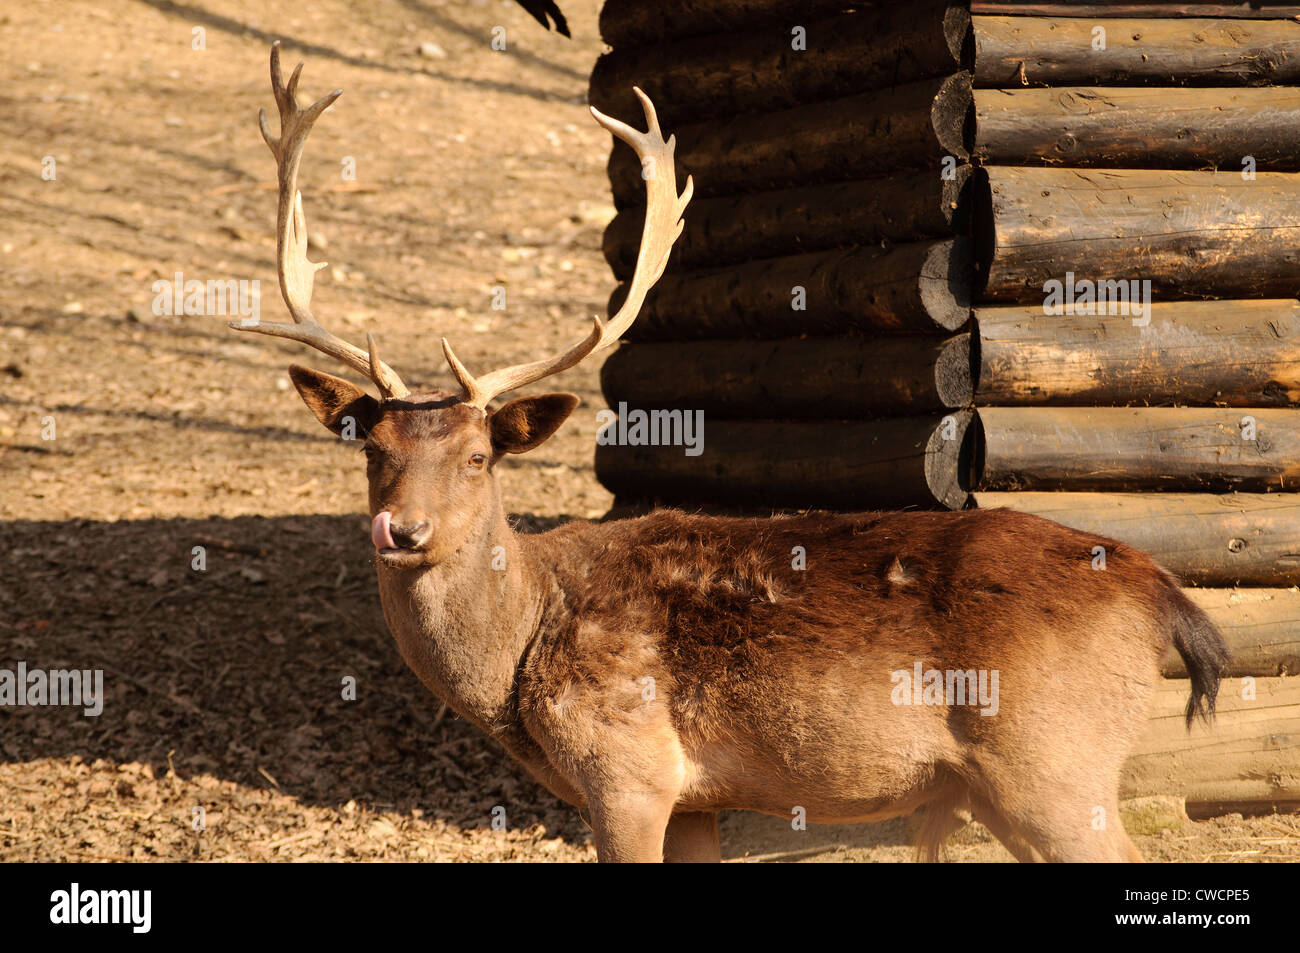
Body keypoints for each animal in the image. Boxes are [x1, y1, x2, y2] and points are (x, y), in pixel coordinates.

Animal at [231, 43, 1231, 863]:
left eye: (481, 456)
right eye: (371, 445)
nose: (402, 530)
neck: (522, 656)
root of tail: (1165, 596)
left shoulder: (628, 769)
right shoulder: (697, 800)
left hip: (1051, 762)